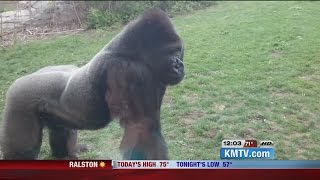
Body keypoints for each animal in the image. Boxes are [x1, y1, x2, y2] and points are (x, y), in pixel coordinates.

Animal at [0, 8, 184, 160]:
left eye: (179, 51)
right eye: (170, 52)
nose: (179, 65)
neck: (131, 51)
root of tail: (18, 81)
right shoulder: (130, 71)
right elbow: (143, 128)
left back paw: (66, 154)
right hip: (19, 100)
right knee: (22, 152)